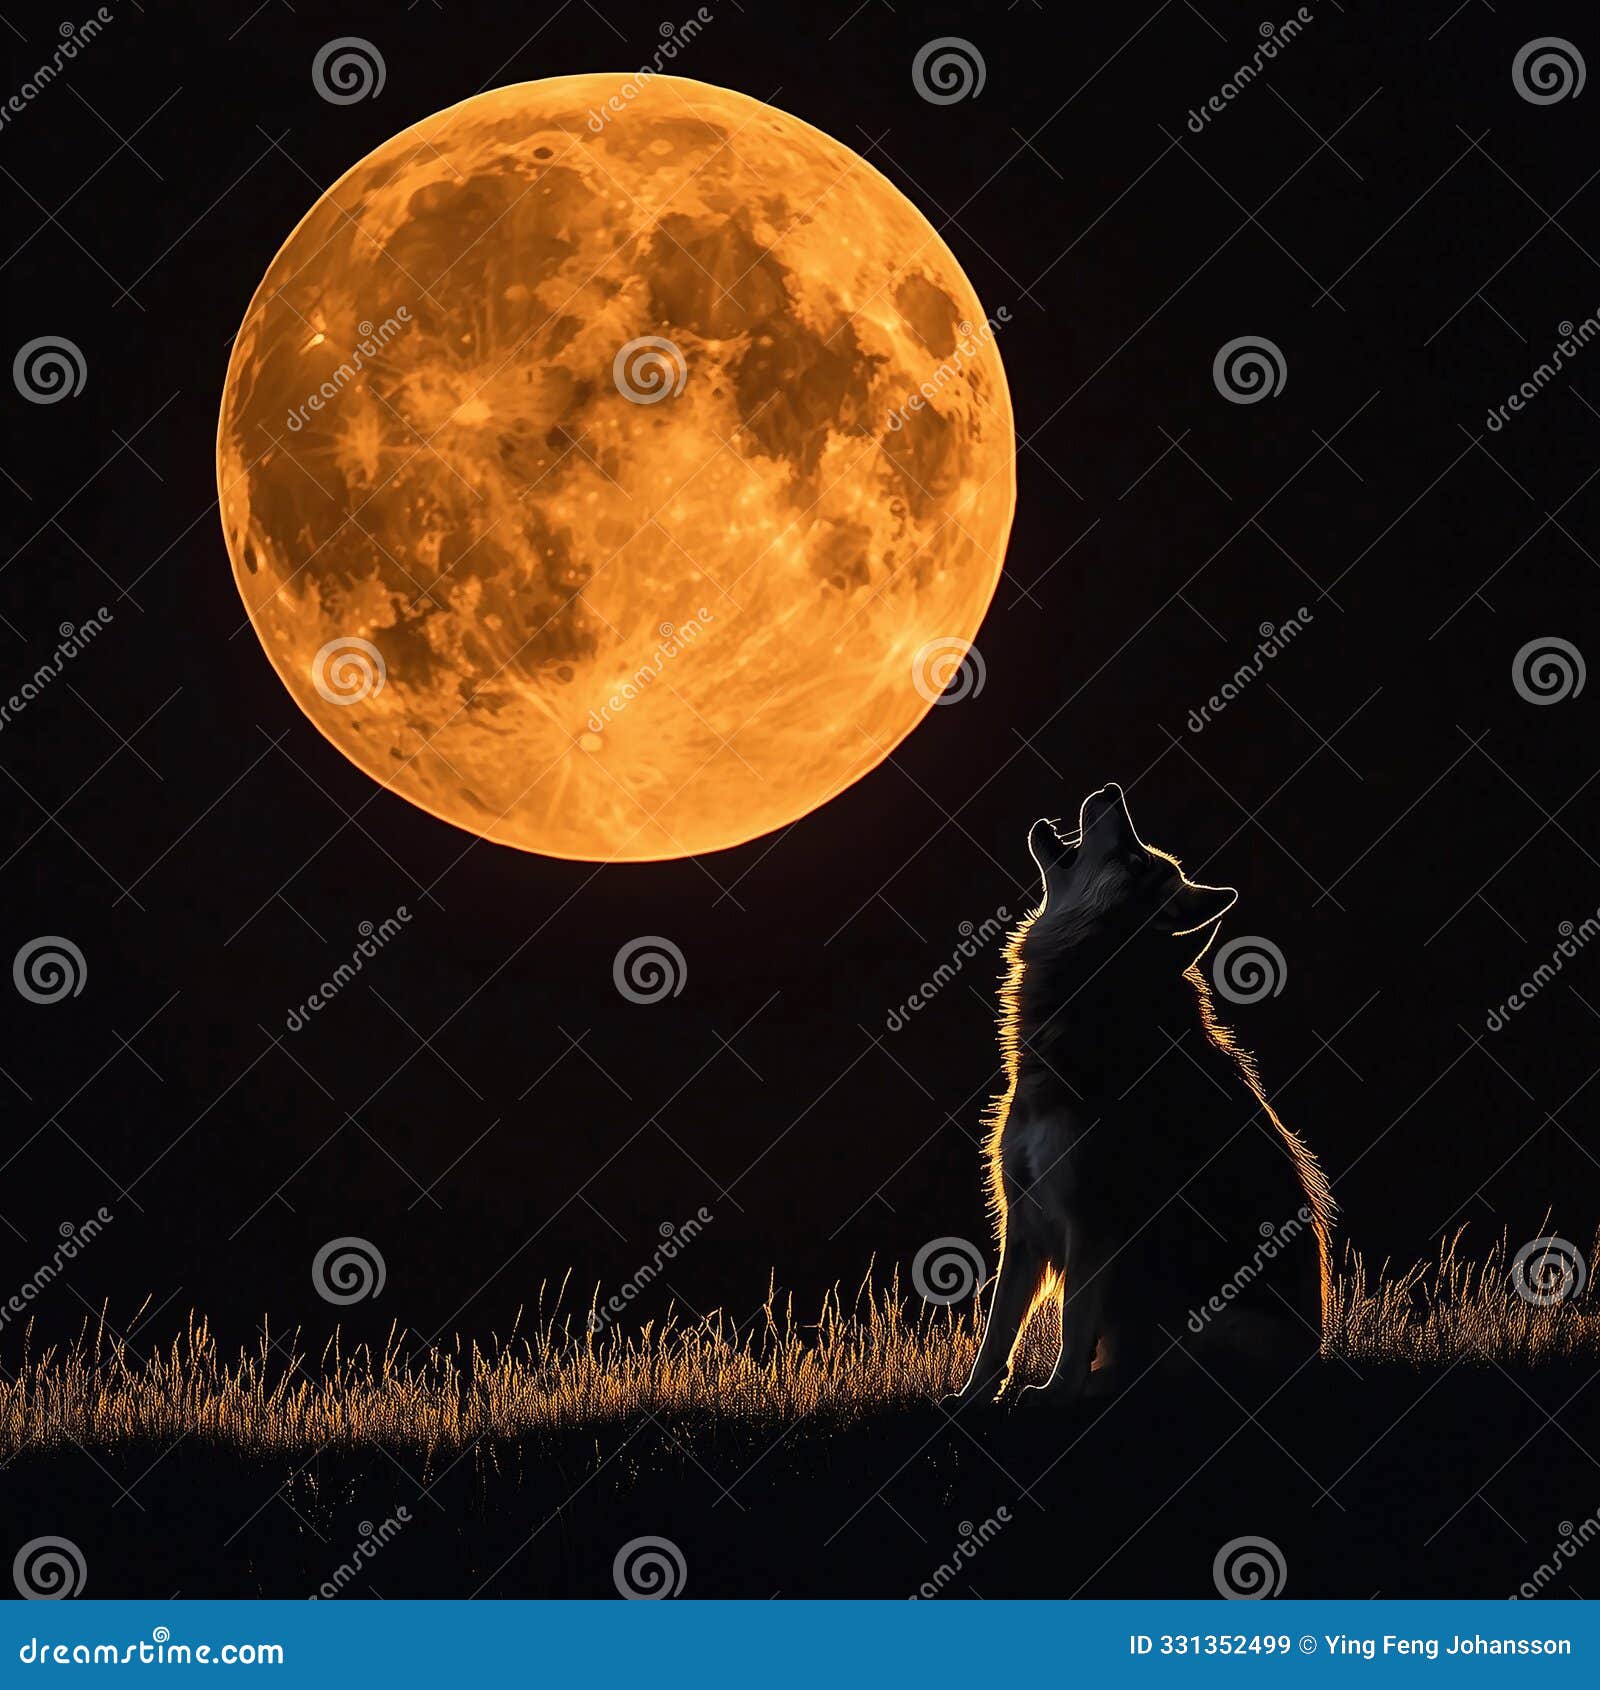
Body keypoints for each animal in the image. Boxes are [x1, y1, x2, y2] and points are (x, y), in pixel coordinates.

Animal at [952, 783, 1334, 1406]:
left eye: (1136, 859)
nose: (1111, 790)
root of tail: (1317, 1359)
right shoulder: (1022, 1219)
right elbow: (998, 1329)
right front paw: (972, 1397)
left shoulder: (1094, 1223)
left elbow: (1071, 1324)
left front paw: (1054, 1395)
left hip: (1210, 1325)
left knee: (1156, 1372)